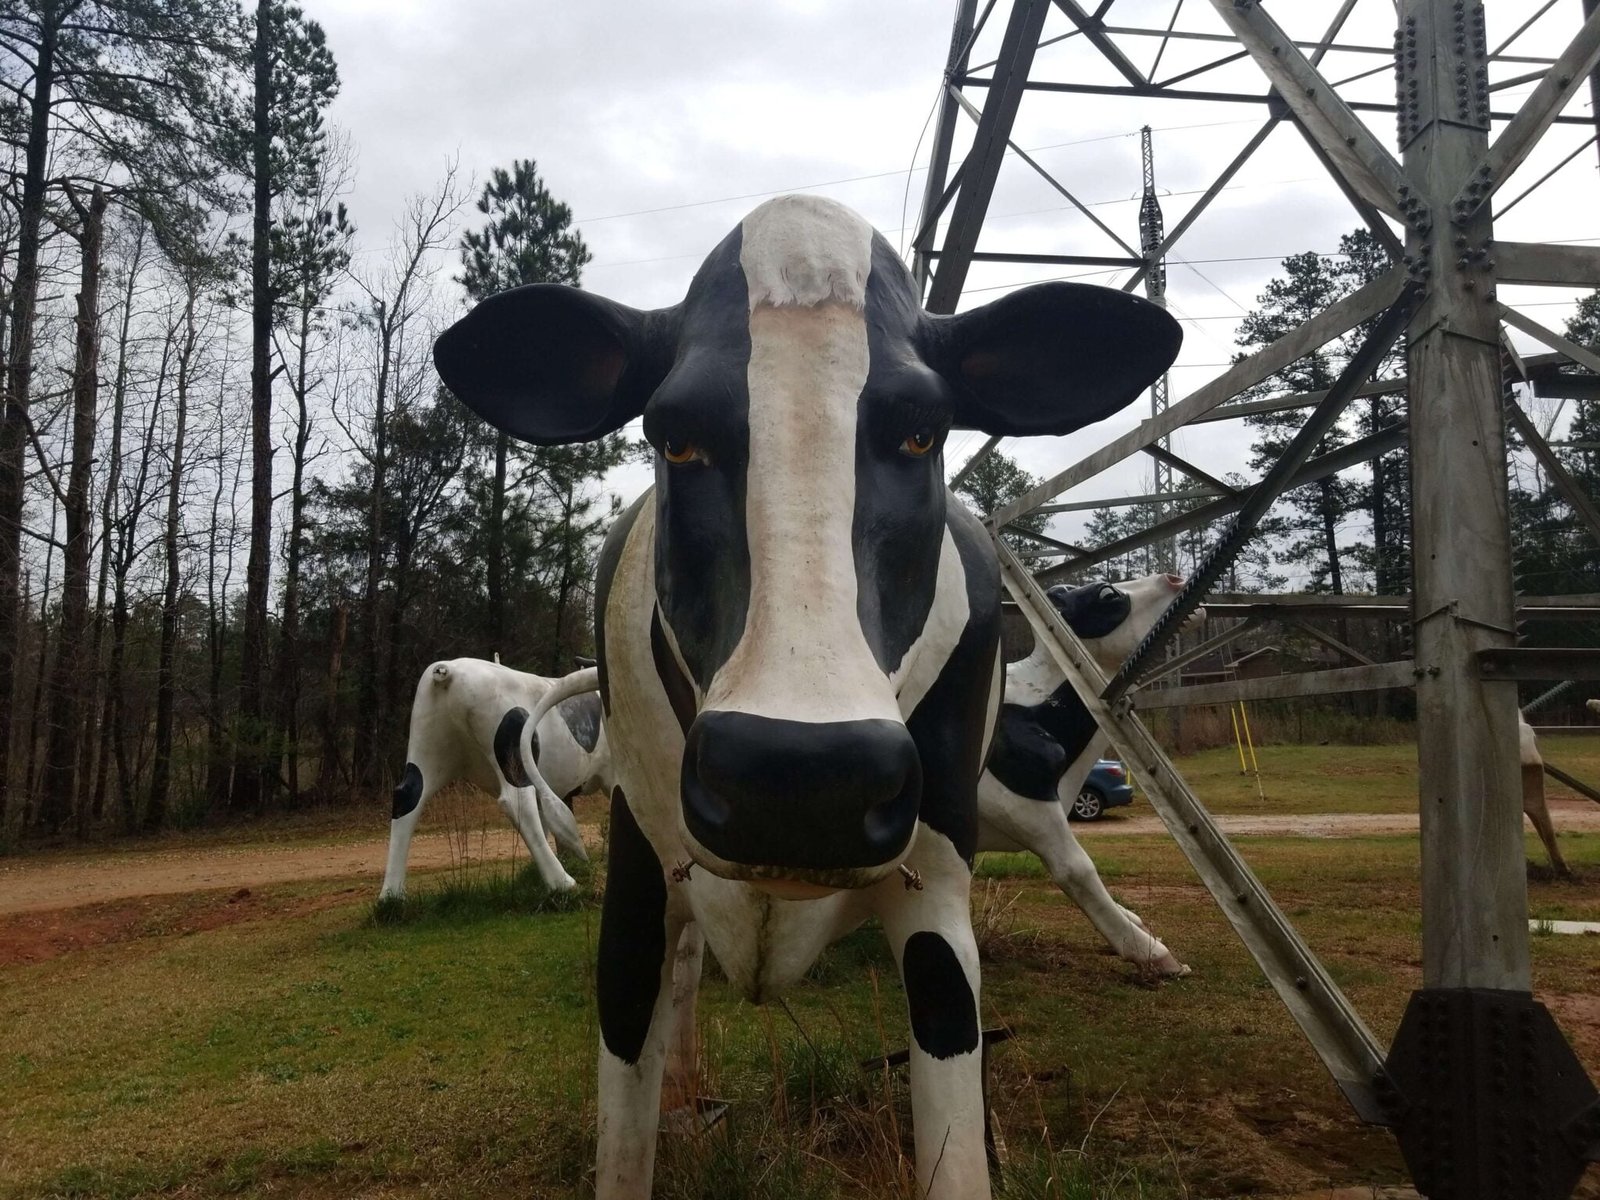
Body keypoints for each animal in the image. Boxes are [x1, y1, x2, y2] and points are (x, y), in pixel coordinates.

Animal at [379, 659, 612, 900]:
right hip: (511, 757)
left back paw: (392, 895)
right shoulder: (610, 776)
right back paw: (563, 882)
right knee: (518, 804)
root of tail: (447, 670)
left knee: (407, 800)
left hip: (426, 747)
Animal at [981, 573, 1201, 976]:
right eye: (1108, 594)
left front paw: (1132, 919)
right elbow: (1076, 868)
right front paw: (1150, 951)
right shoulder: (1018, 801)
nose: (1175, 579)